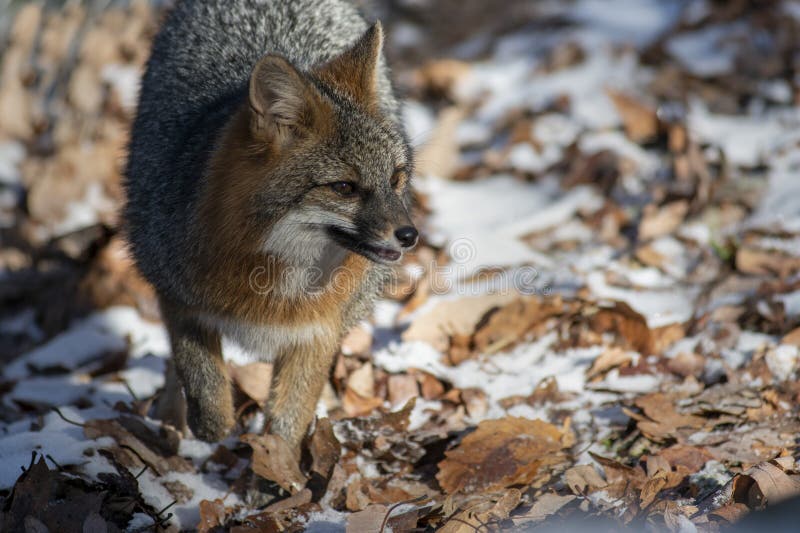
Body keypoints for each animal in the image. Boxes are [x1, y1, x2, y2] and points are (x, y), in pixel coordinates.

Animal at [123, 0, 417, 456]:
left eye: (396, 178)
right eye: (344, 187)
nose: (409, 235)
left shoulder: (316, 332)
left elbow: (287, 422)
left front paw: (278, 470)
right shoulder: (176, 297)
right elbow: (203, 385)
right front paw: (209, 425)